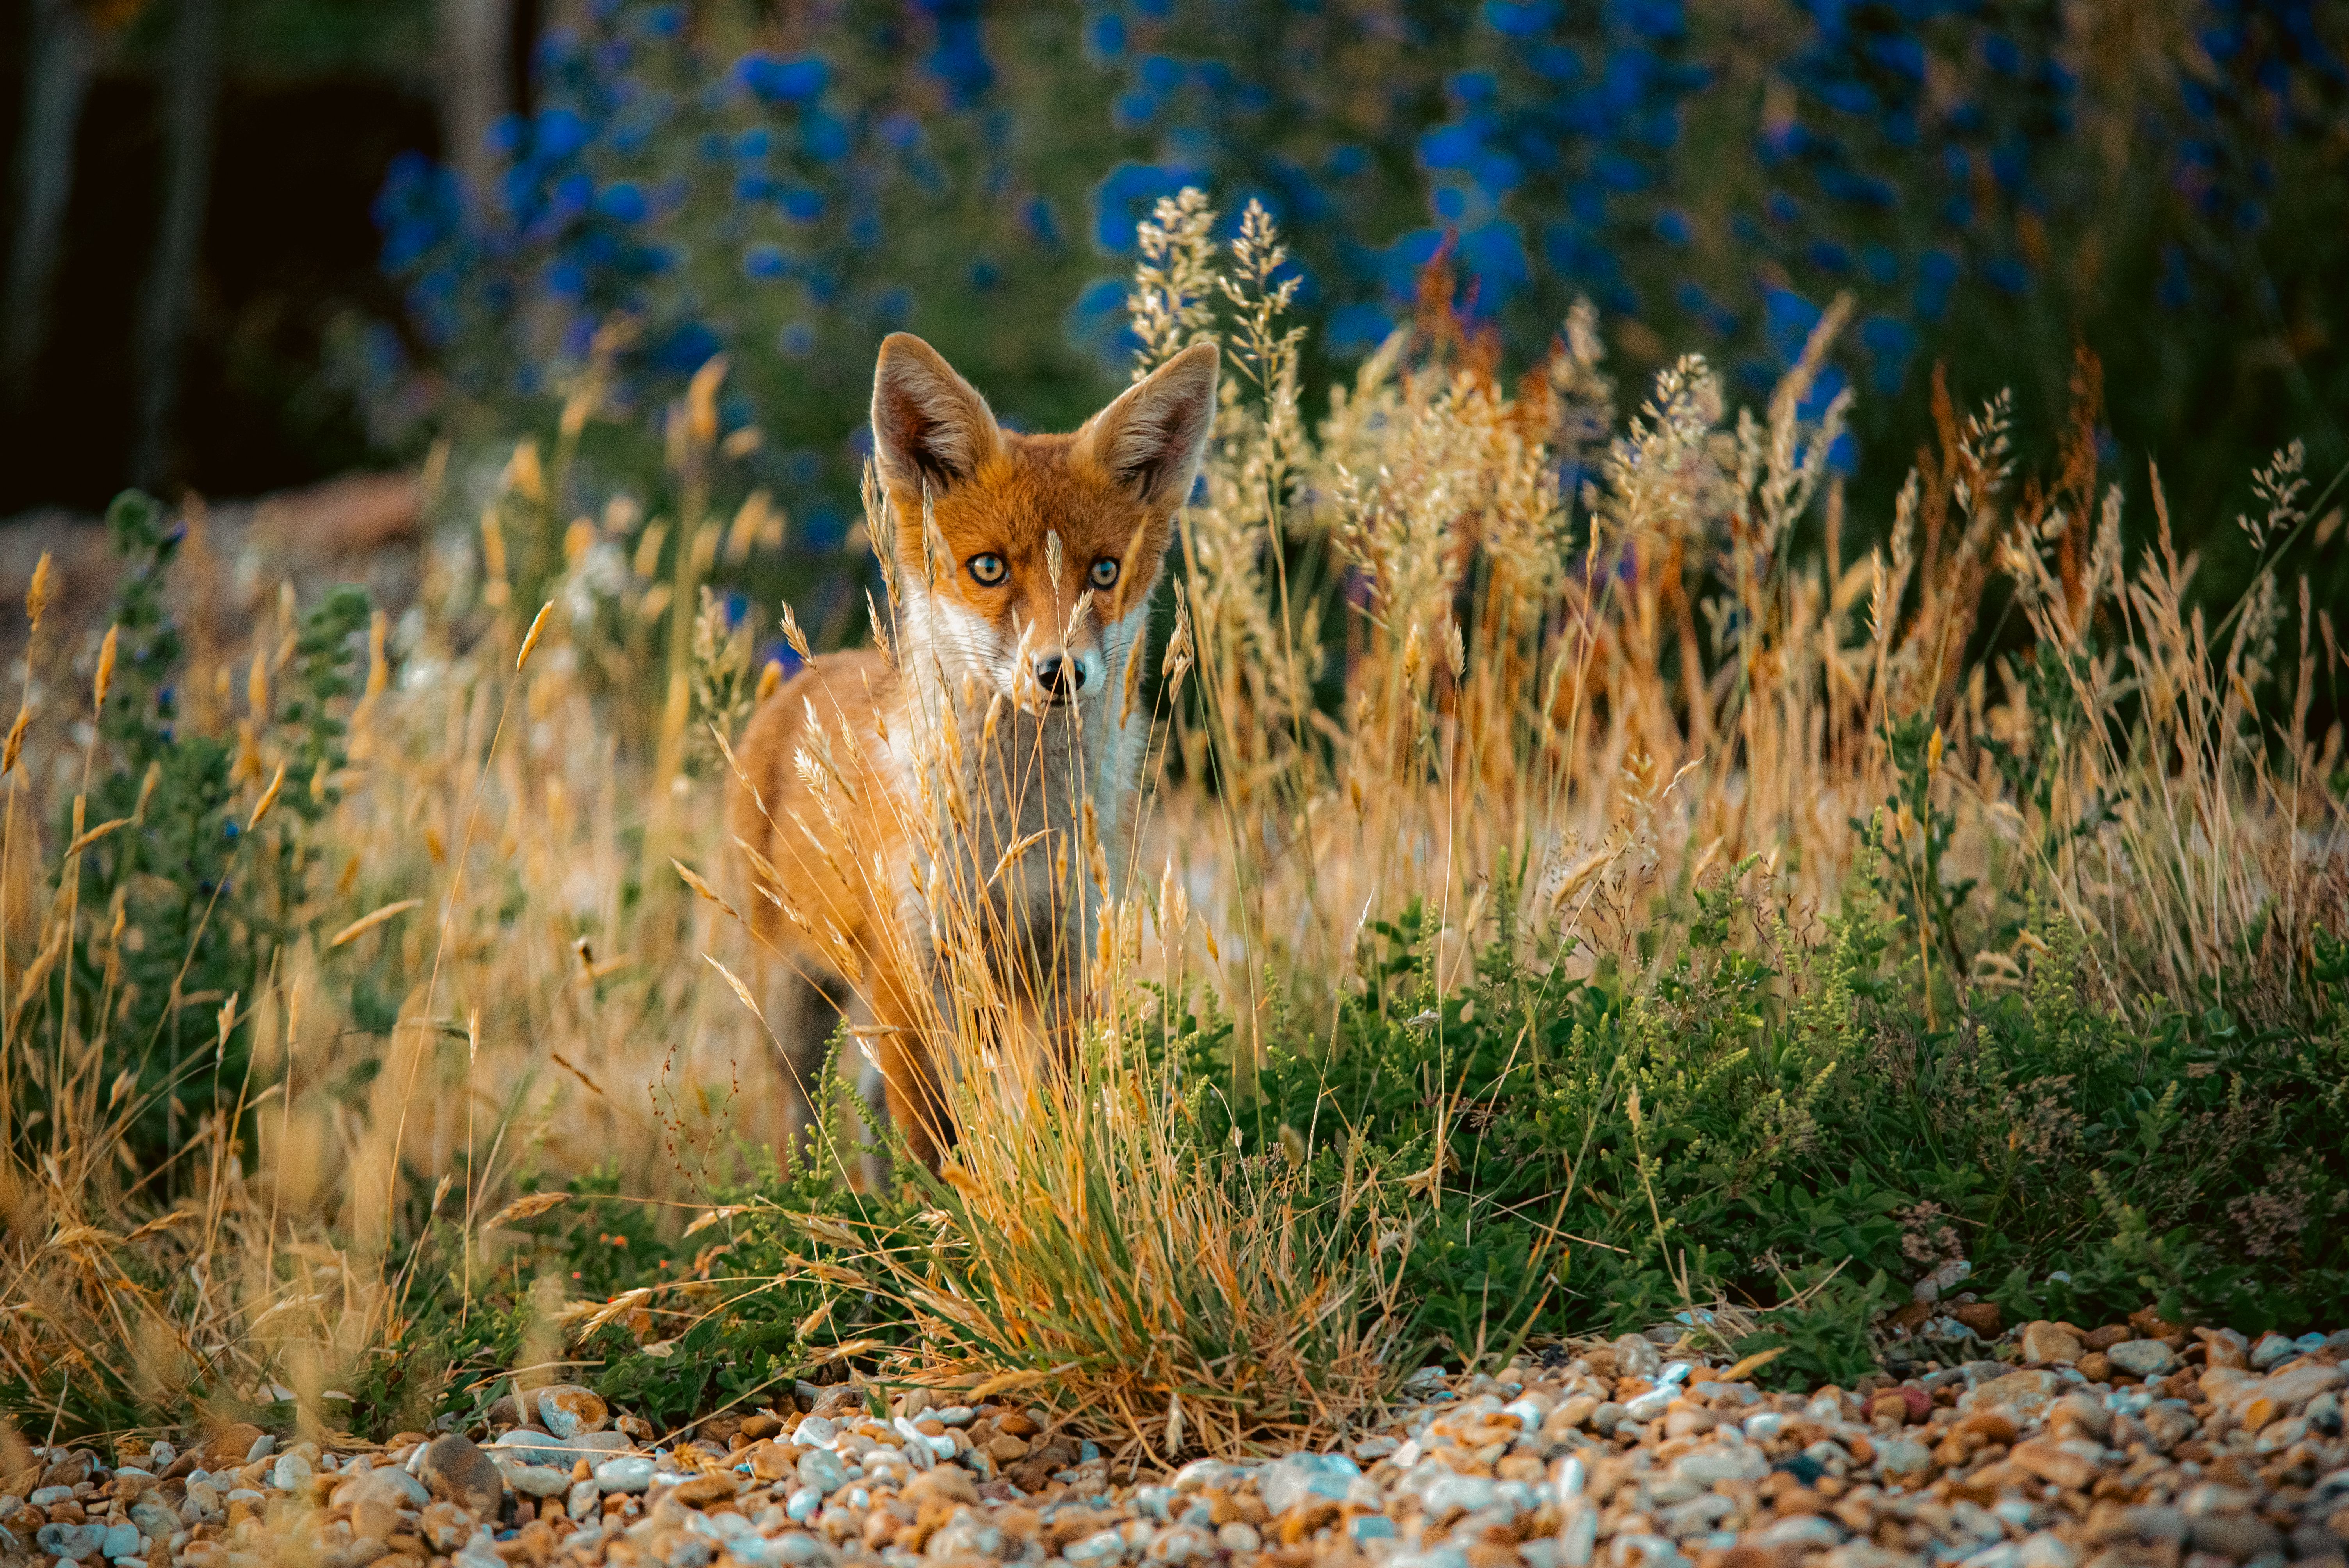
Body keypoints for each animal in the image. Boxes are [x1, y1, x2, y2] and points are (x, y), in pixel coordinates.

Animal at [724, 331, 1219, 1170]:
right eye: (988, 567)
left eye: (1104, 572)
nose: (1059, 672)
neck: (1011, 828)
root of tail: (804, 677)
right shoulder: (911, 969)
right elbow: (936, 1145)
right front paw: (944, 1209)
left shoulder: (1065, 960)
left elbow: (1055, 1117)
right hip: (795, 1002)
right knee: (802, 1118)